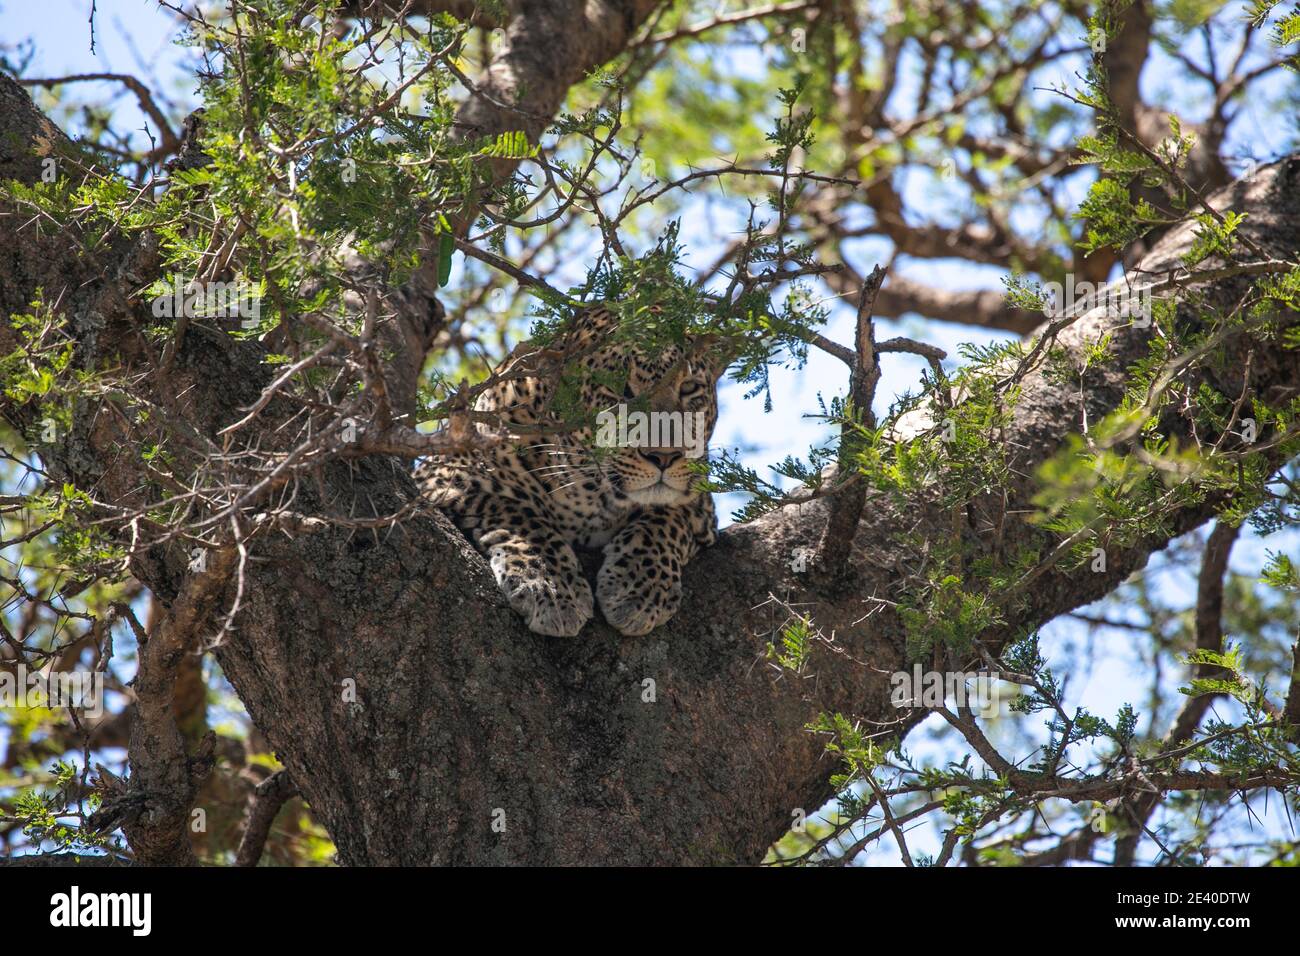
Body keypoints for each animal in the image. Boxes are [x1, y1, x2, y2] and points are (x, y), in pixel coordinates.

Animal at [415, 305, 724, 637]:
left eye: (689, 388)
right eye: (620, 390)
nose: (665, 456)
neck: (591, 493)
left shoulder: (700, 503)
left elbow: (665, 520)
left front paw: (638, 588)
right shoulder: (445, 472)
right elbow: (518, 512)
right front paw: (551, 587)